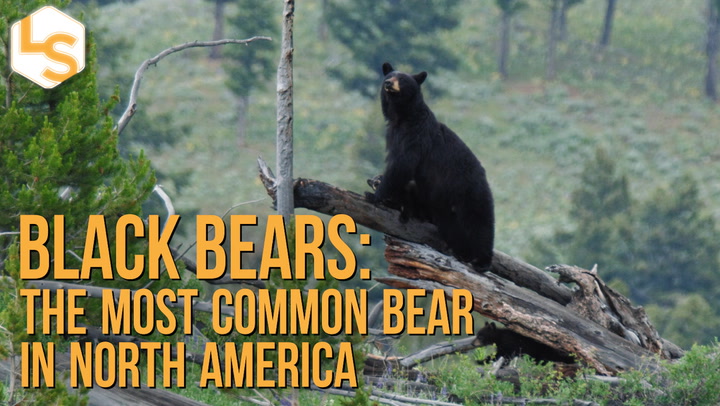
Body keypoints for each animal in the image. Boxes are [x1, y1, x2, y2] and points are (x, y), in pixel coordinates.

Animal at [366, 62, 495, 271]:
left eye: (402, 79)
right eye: (389, 75)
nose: (388, 83)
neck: (402, 116)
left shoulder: (416, 136)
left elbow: (402, 165)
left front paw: (376, 195)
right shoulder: (393, 135)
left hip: (467, 193)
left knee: (479, 225)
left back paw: (481, 260)